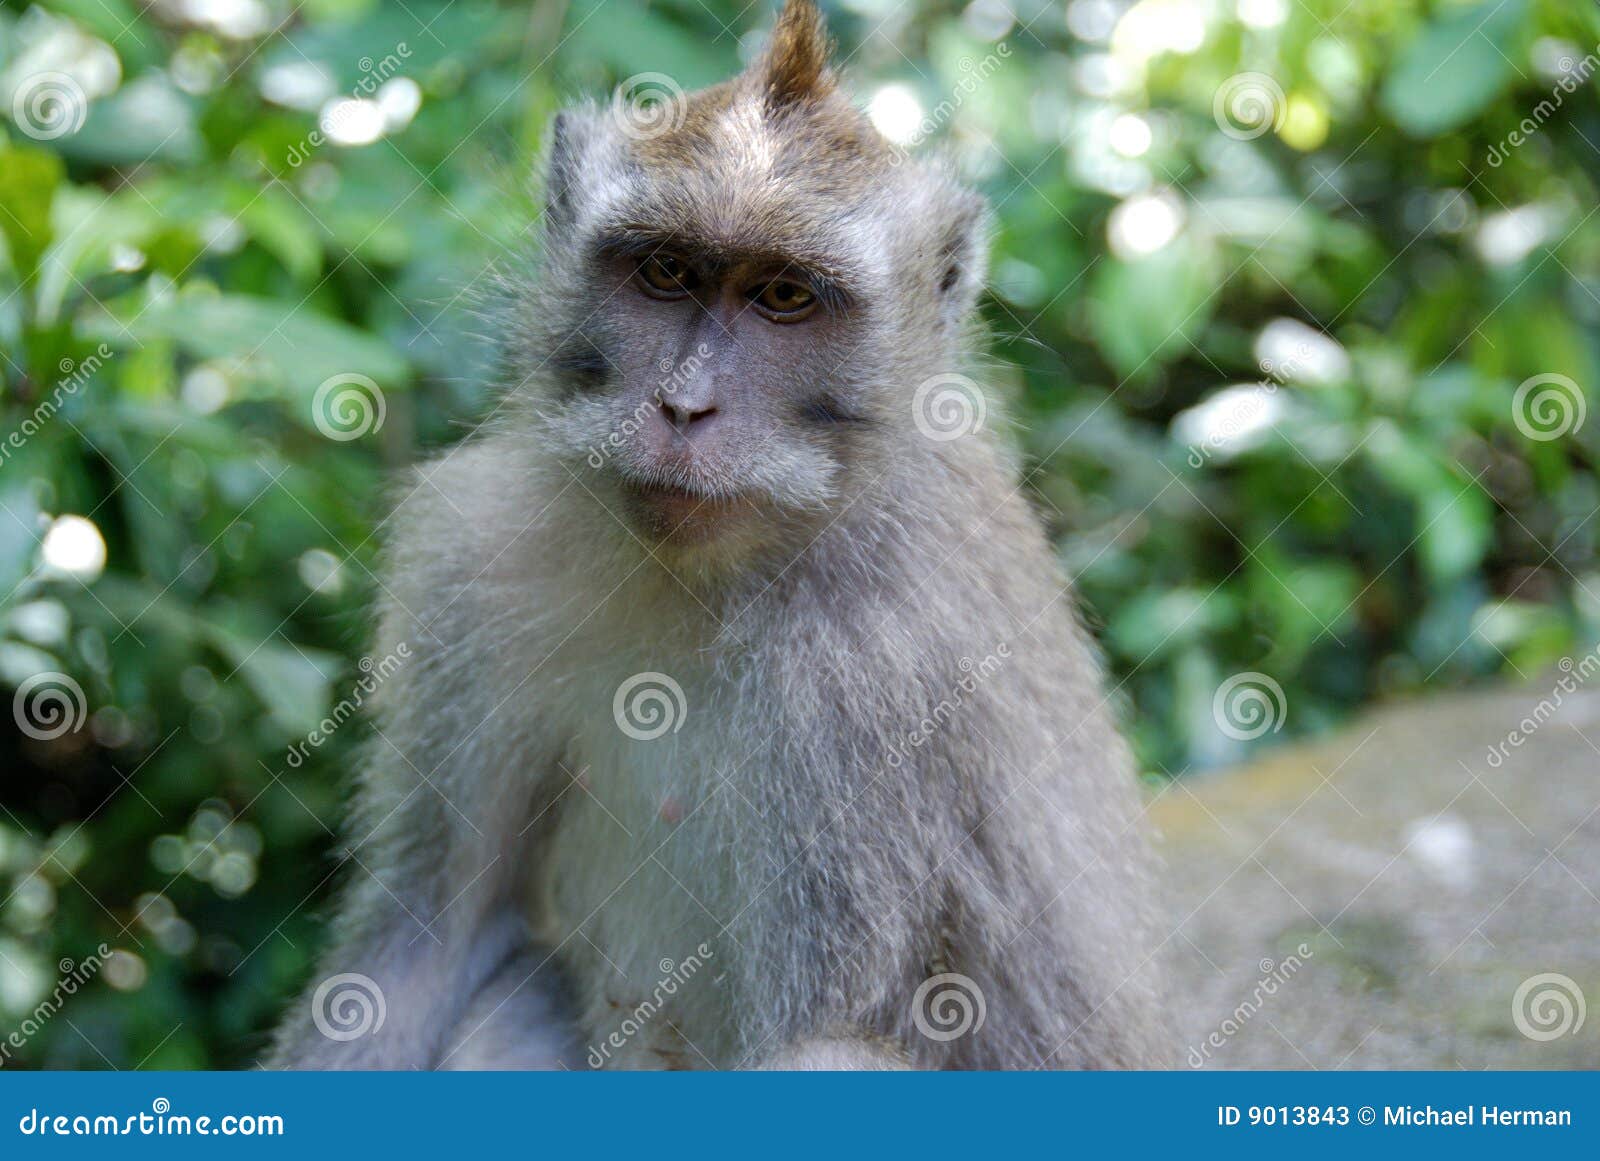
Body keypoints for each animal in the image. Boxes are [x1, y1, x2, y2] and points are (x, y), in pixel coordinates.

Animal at [268, 0, 1167, 1070]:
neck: (716, 571)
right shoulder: (474, 561)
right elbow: (422, 943)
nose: (684, 407)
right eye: (664, 270)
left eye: (784, 296)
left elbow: (815, 1033)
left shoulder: (876, 685)